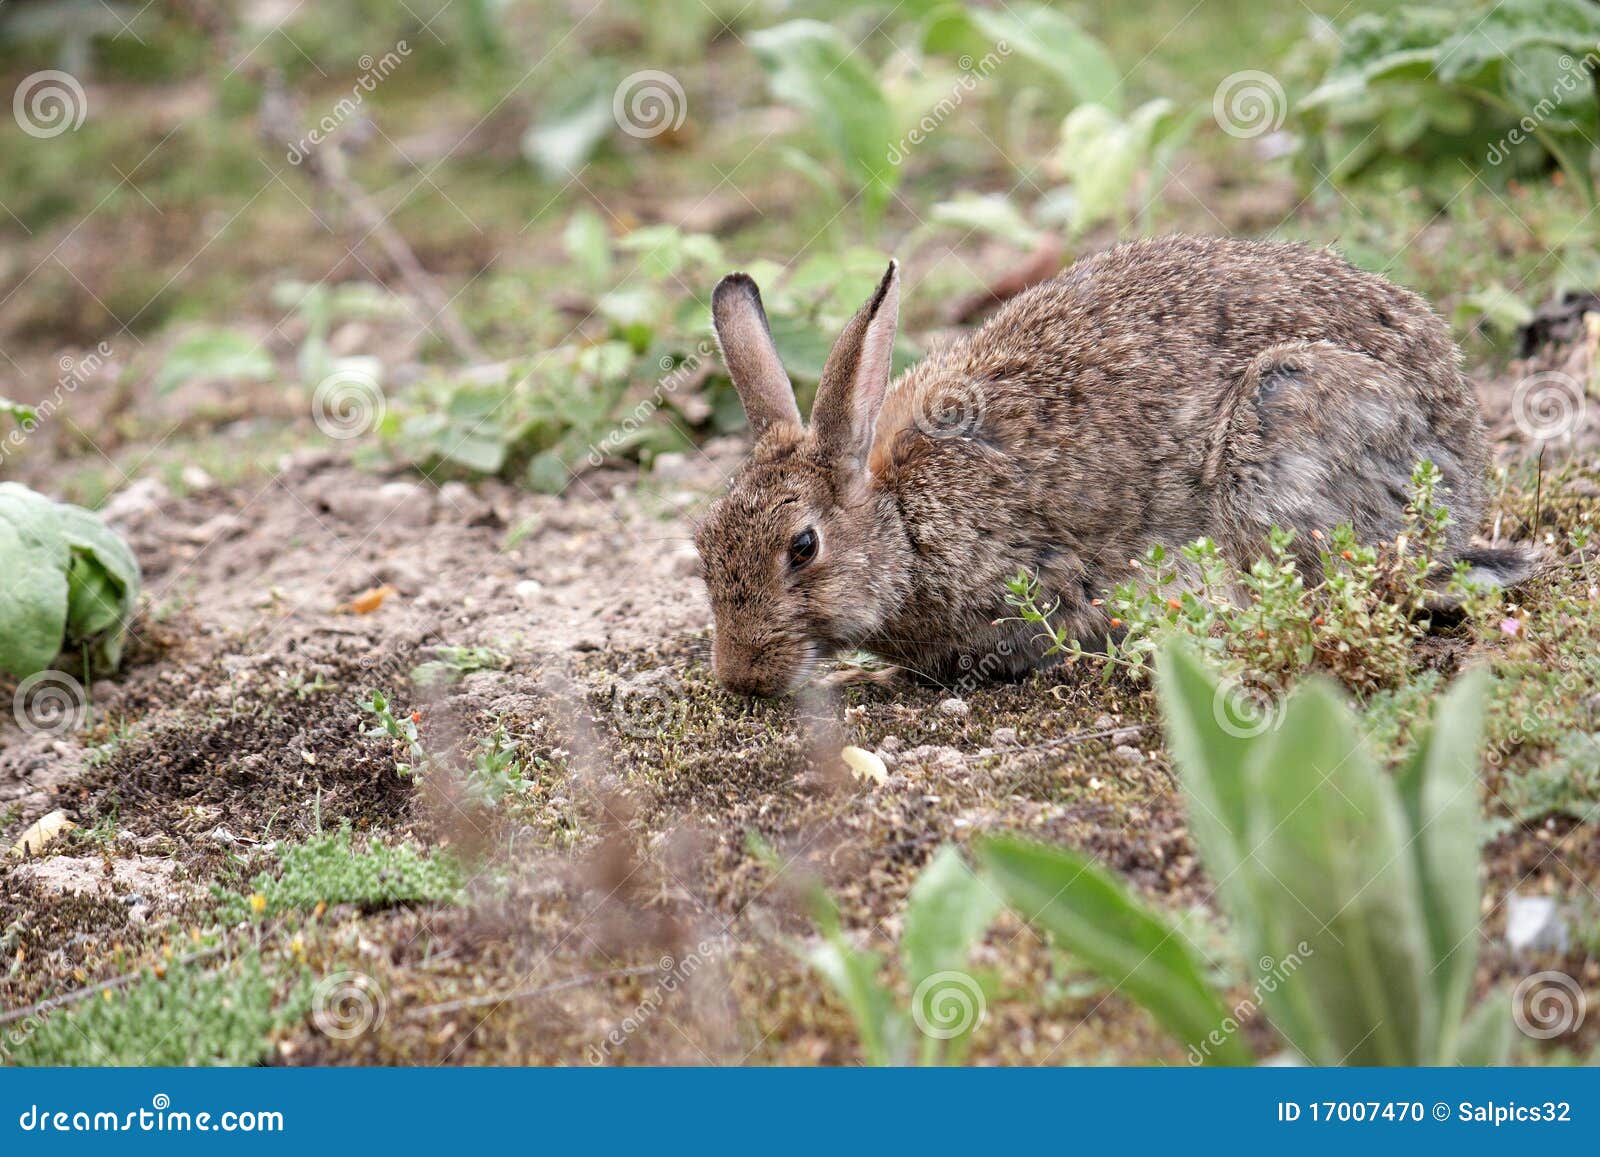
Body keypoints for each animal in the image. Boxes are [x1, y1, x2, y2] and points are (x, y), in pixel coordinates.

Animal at [695, 235, 1528, 696]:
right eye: (702, 549)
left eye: (803, 547)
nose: (740, 676)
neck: (902, 515)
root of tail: (1460, 464)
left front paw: (878, 674)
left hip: (1283, 424)